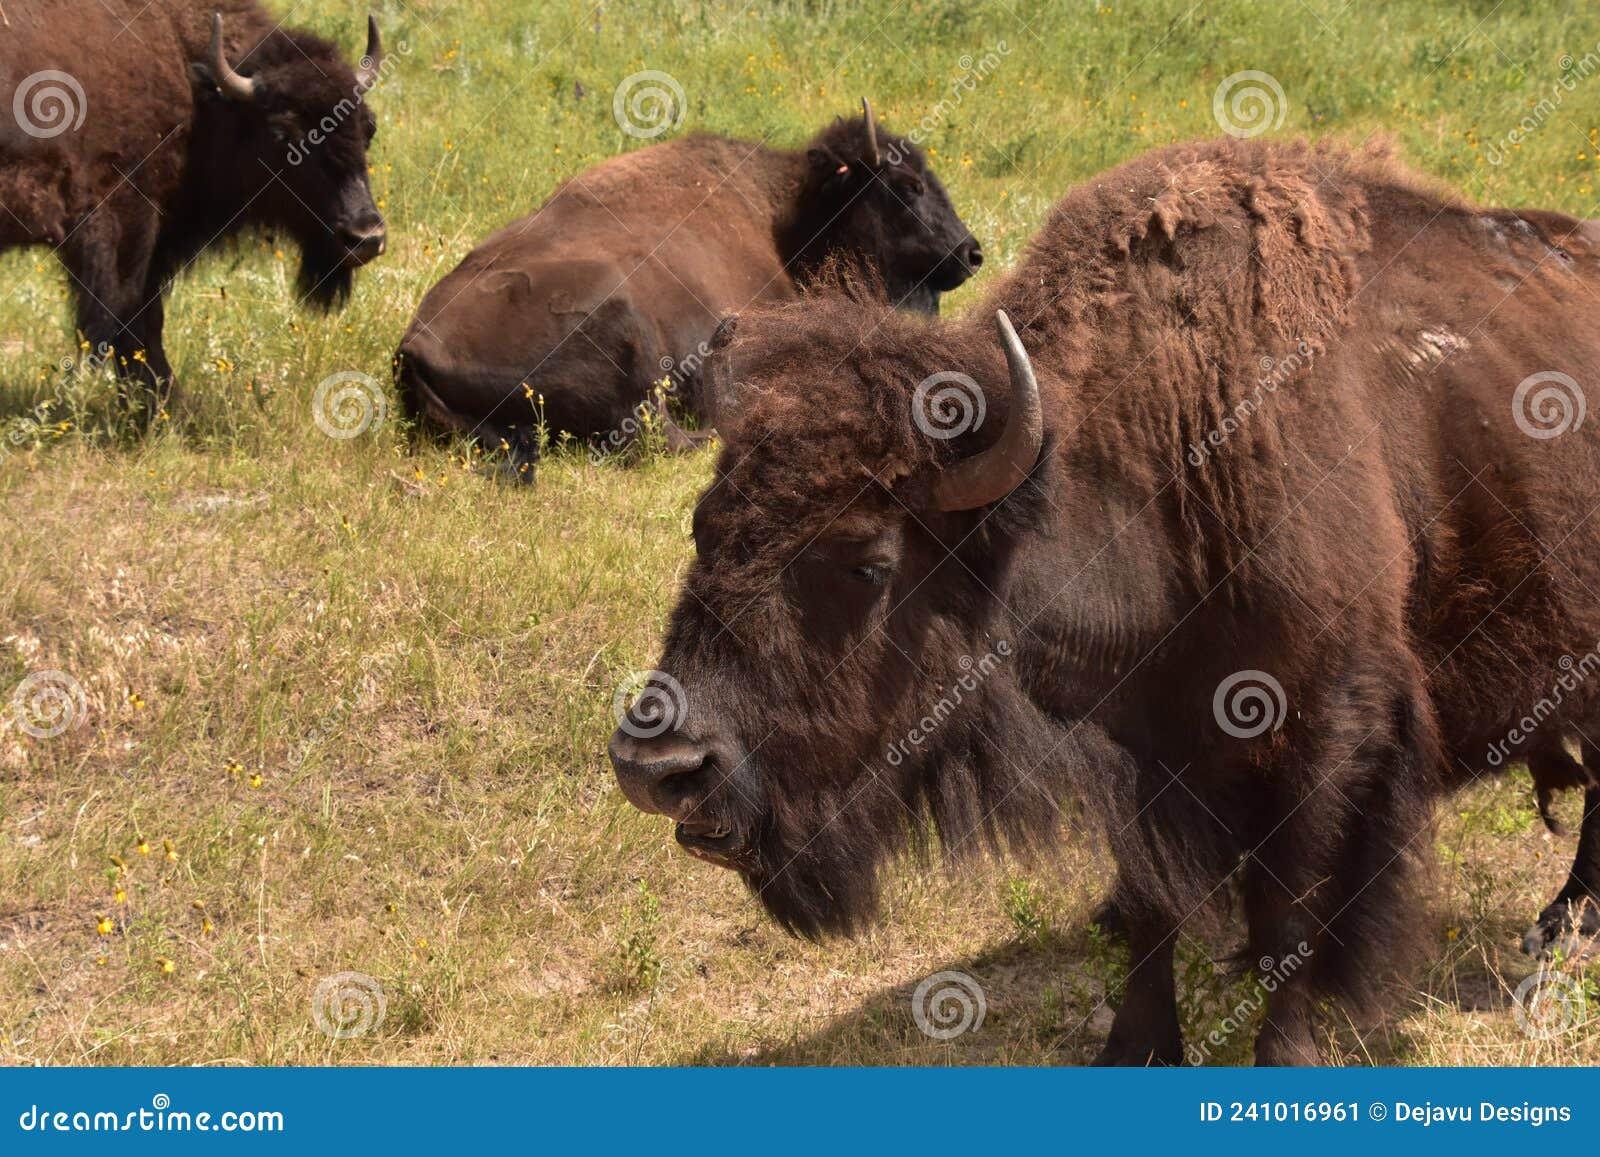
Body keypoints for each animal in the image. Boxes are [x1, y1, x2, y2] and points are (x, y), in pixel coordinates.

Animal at [0, 1, 388, 405]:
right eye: (283, 135)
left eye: (368, 128)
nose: (366, 238)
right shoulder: (126, 223)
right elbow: (130, 316)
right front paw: (162, 405)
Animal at [394, 101, 982, 475]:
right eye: (907, 186)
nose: (971, 253)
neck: (787, 218)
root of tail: (412, 346)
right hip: (625, 324)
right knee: (663, 434)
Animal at [609, 136, 1600, 1065]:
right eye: (703, 524)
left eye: (867, 562)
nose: (658, 766)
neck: (1173, 451)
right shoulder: (1135, 741)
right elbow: (1150, 899)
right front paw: (1135, 1042)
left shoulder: (1332, 724)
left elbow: (1293, 912)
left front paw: (1283, 1052)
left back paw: (1560, 928)